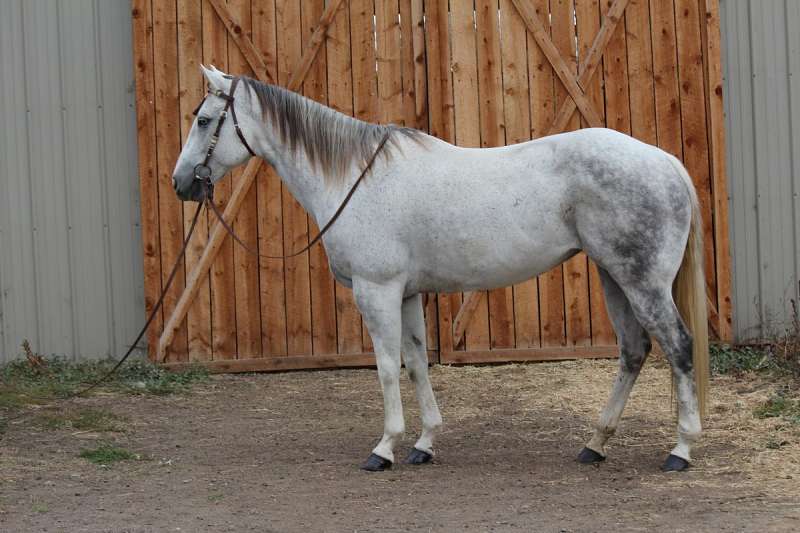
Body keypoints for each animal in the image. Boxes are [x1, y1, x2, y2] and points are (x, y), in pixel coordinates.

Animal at [171, 65, 709, 473]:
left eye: (204, 120)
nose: (181, 183)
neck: (355, 177)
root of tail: (665, 162)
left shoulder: (377, 291)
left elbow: (386, 367)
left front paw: (384, 448)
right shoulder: (408, 293)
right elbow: (415, 364)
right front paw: (424, 443)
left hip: (644, 282)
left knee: (678, 346)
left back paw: (680, 449)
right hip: (613, 276)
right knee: (634, 351)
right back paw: (594, 445)